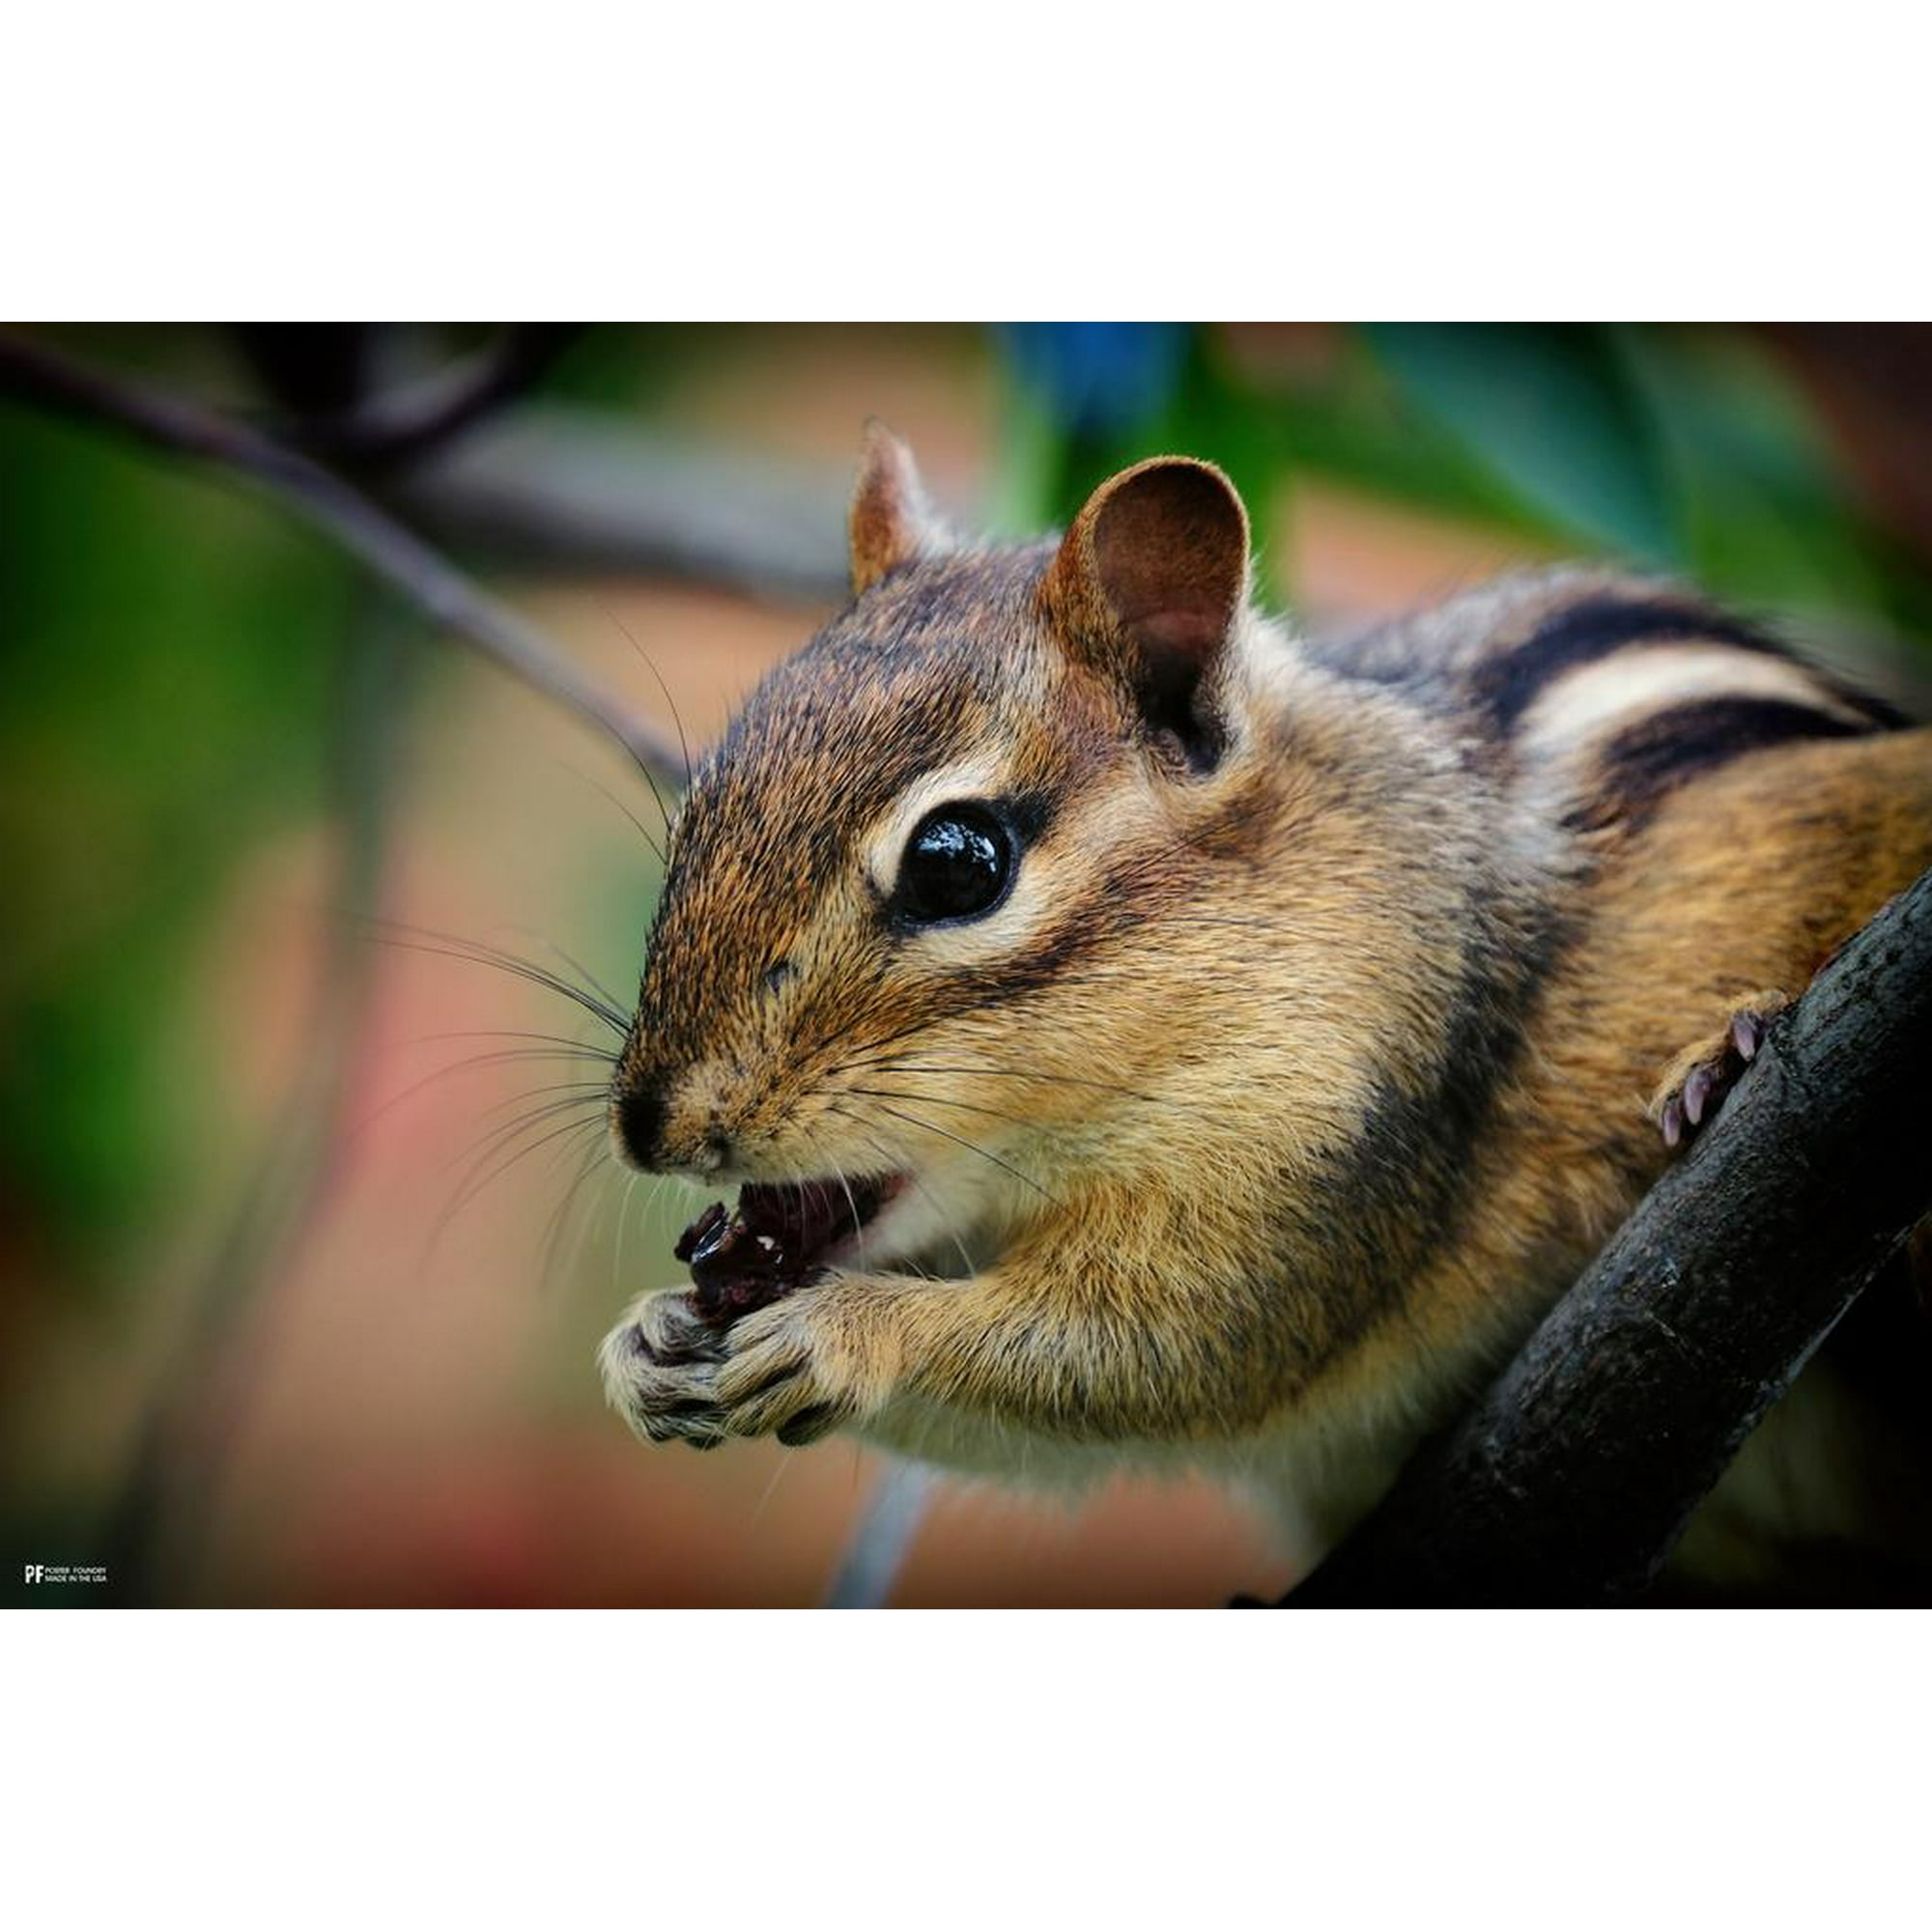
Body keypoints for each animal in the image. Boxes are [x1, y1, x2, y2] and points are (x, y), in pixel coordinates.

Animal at [597, 424, 1932, 1601]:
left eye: (955, 862)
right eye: (698, 804)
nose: (652, 1128)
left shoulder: (1341, 1128)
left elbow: (1176, 1352)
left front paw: (851, 1330)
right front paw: (644, 1342)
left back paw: (1726, 1053)